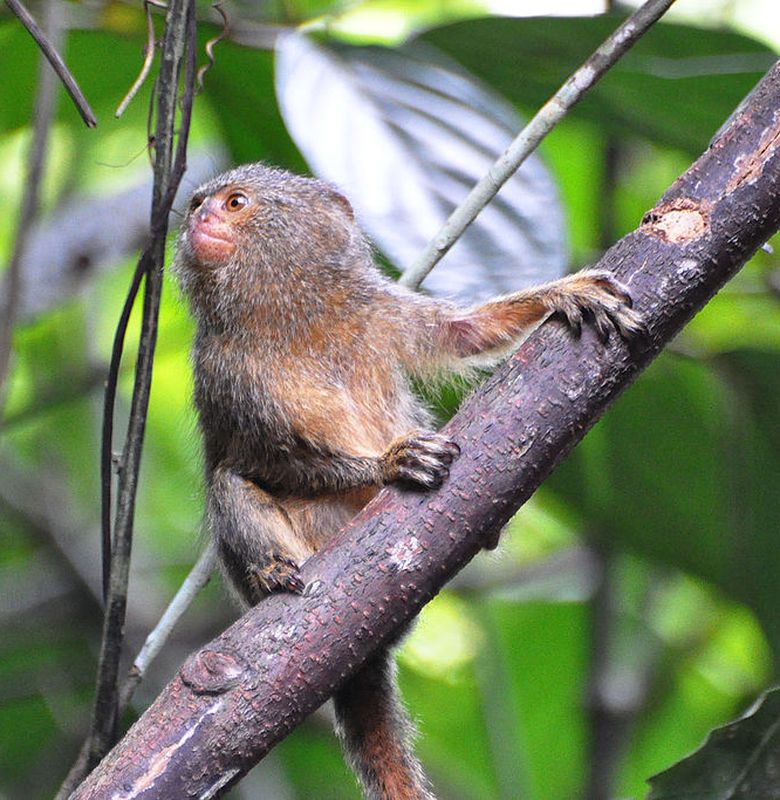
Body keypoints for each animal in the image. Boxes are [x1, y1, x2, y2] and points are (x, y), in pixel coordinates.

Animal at [173, 163, 643, 800]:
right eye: (198, 203)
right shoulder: (223, 371)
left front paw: (564, 292)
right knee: (230, 485)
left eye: (235, 203)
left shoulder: (380, 311)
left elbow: (462, 333)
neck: (289, 314)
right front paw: (389, 464)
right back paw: (272, 572)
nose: (199, 218)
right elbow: (255, 460)